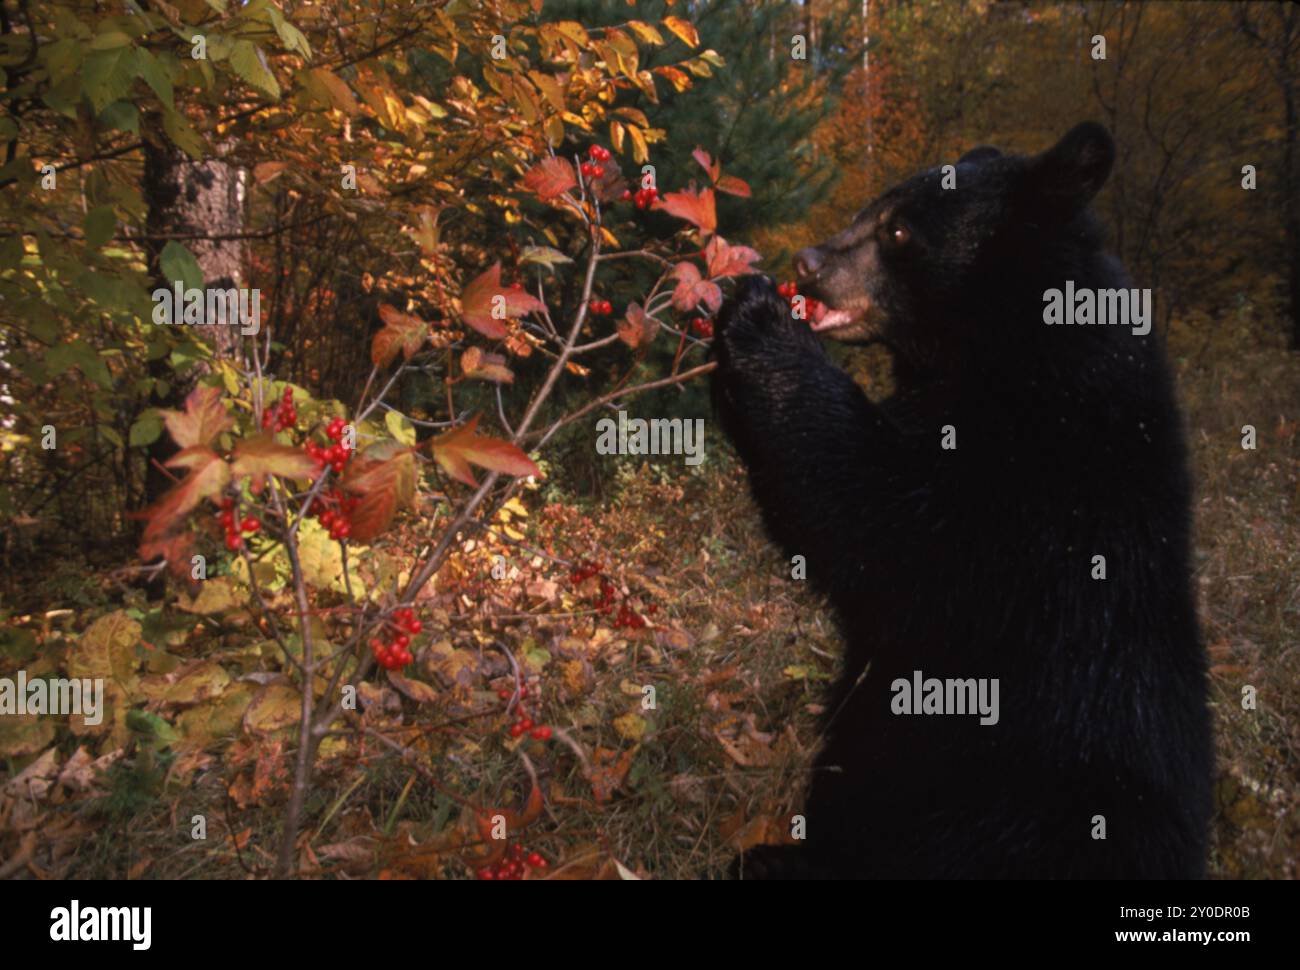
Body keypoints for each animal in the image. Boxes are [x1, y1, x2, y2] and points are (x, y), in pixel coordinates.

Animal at [711, 123, 1212, 879]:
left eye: (897, 229)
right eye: (872, 206)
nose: (808, 261)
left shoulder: (1025, 495)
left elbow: (876, 517)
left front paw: (759, 317)